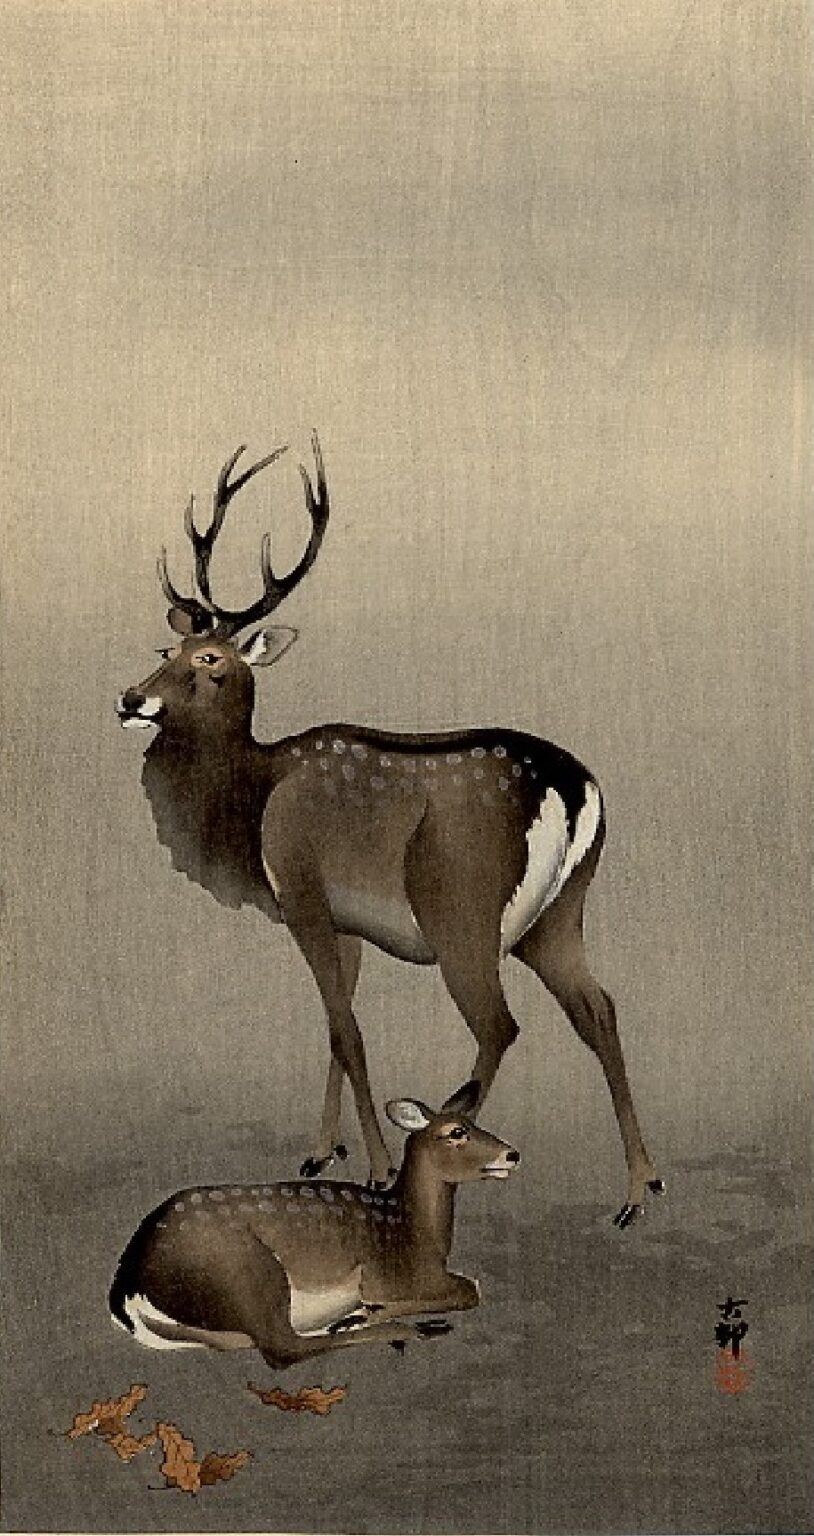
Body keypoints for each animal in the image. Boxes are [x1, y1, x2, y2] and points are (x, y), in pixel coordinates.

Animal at [109, 1082, 519, 1369]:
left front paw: (359, 1315)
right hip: (248, 1272)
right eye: (456, 1132)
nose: (512, 1154)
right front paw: (366, 1314)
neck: (414, 1231)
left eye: (474, 1124)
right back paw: (411, 1329)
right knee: (280, 1348)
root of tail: (128, 1283)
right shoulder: (392, 1277)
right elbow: (470, 1289)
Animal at [115, 433, 664, 1228]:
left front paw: (372, 1168)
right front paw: (319, 1151)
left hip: (460, 909)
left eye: (211, 661)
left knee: (500, 1024)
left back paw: (448, 1142)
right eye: (166, 654)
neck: (250, 809)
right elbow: (333, 1023)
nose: (130, 699)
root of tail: (576, 785)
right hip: (560, 912)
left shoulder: (301, 888)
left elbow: (347, 1029)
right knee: (599, 1007)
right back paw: (640, 1187)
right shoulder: (346, 921)